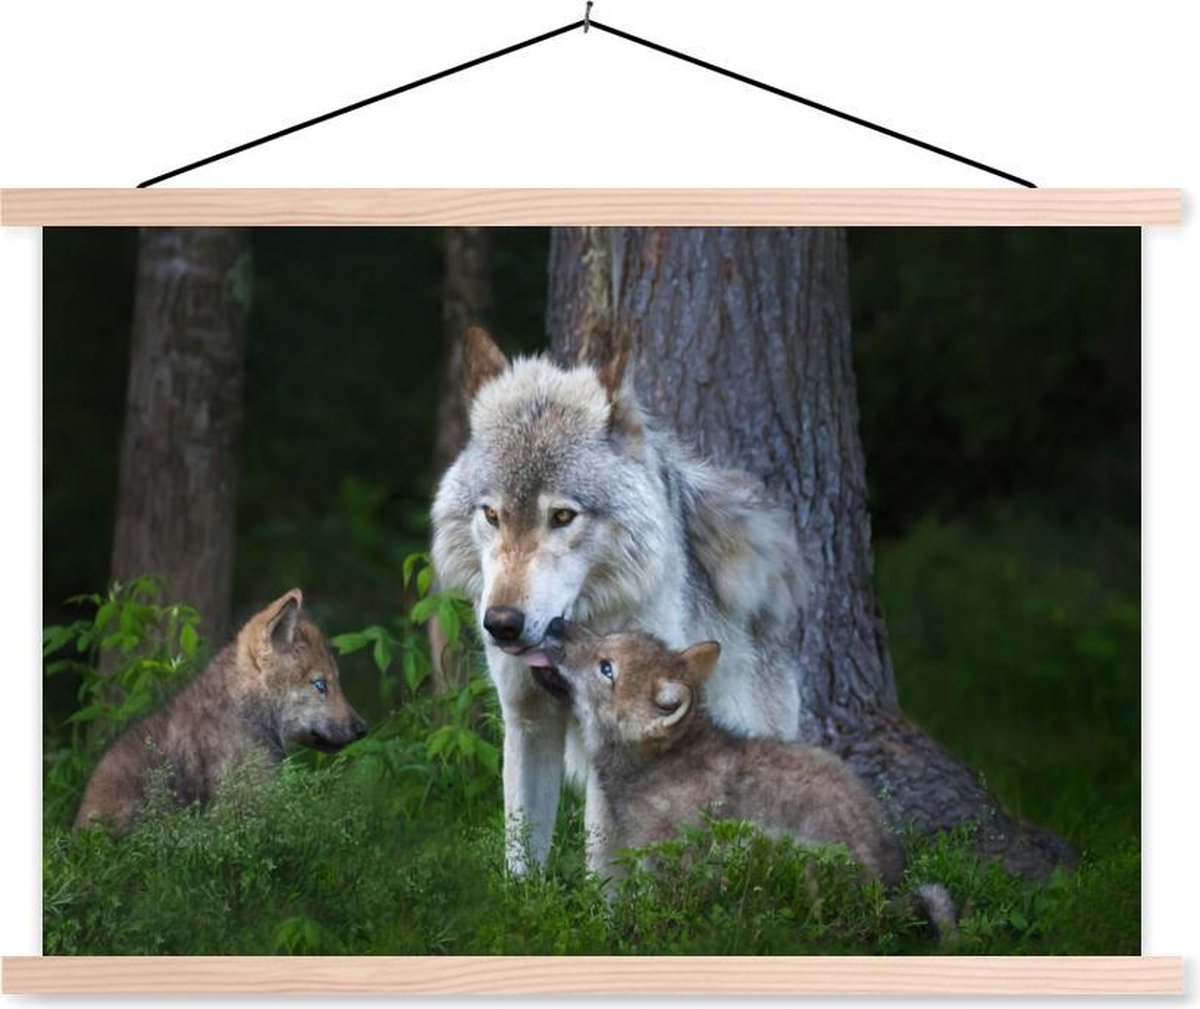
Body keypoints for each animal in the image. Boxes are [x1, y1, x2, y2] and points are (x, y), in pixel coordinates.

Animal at [431, 328, 807, 875]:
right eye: (492, 515)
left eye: (562, 516)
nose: (501, 624)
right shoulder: (527, 723)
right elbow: (520, 859)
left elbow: (604, 870)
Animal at [541, 620, 955, 933]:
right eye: (606, 635)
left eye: (606, 668)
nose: (556, 622)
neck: (658, 764)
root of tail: (887, 891)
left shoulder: (667, 861)